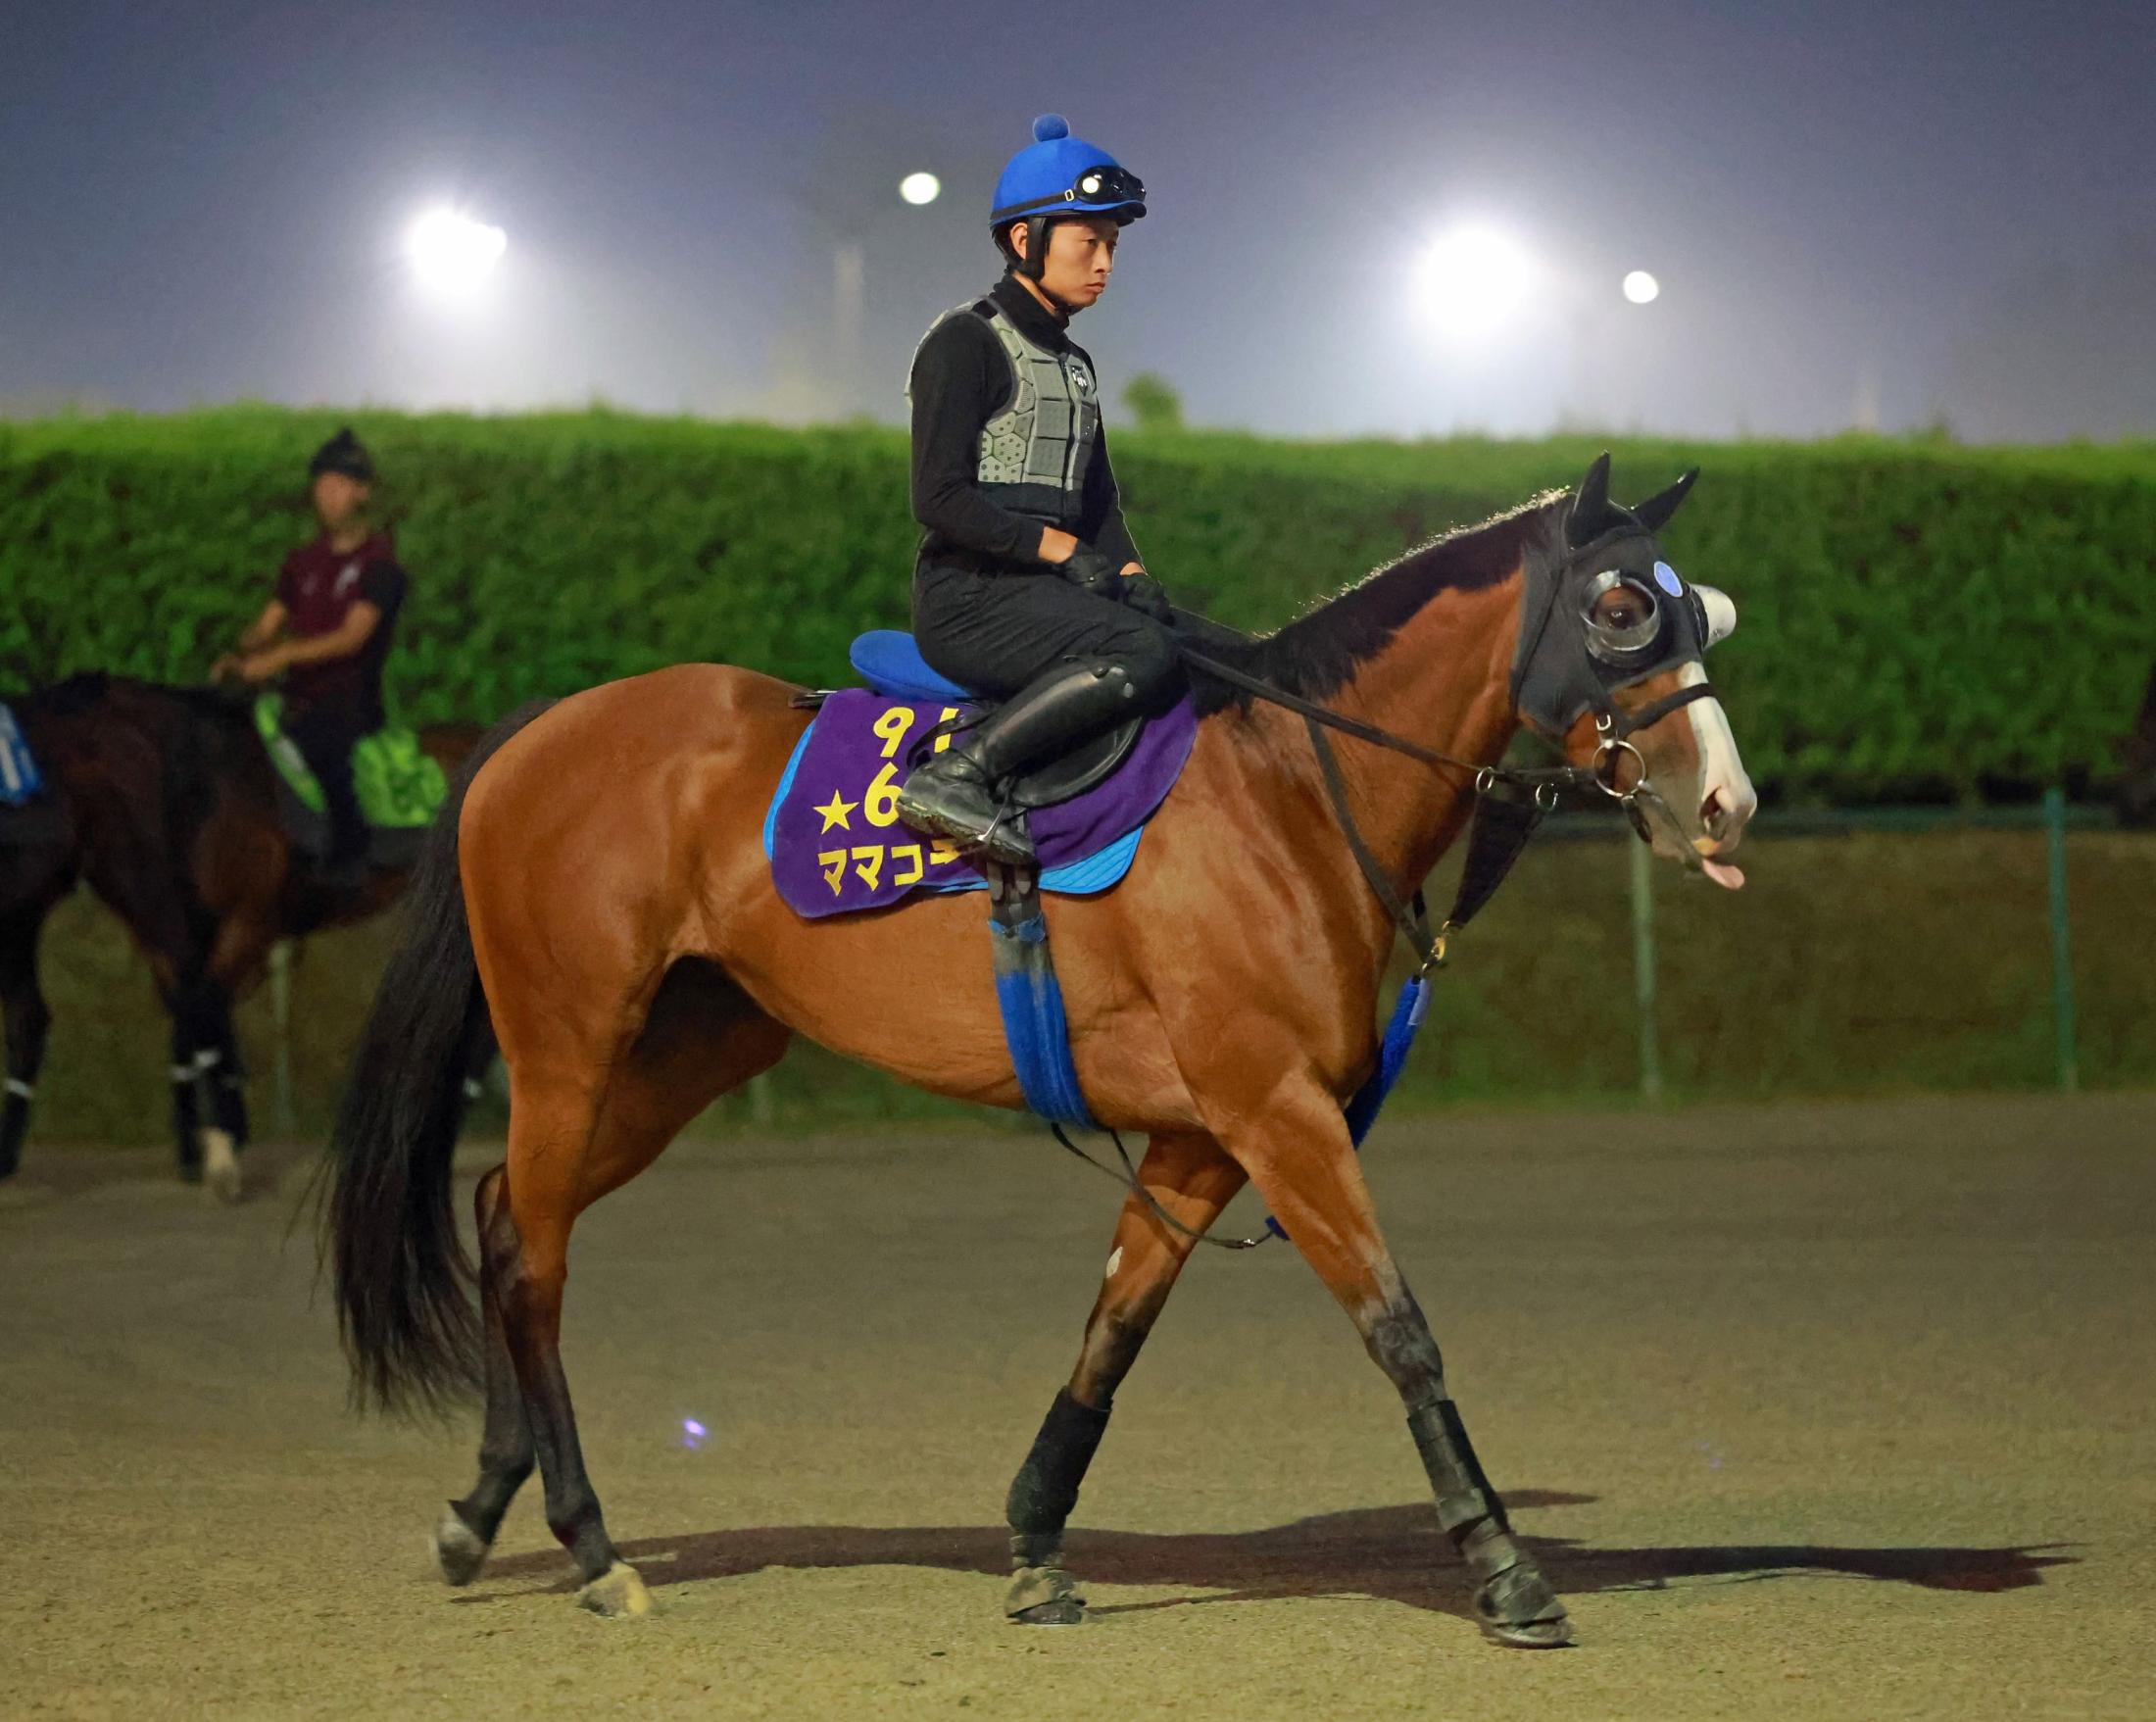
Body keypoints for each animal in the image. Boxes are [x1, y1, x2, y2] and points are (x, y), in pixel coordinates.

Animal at [0, 673, 481, 1195]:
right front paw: (205, 1147)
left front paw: (222, 1148)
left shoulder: (247, 923)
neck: (201, 788)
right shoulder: (173, 933)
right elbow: (193, 1019)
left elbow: (204, 1007)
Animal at [326, 456, 1757, 1648]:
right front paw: (1506, 1570)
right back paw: (589, 1543)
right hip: (571, 1044)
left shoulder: (1199, 1136)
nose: (1723, 805)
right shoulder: (1276, 1110)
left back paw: (481, 1510)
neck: (1288, 787)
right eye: (1619, 609)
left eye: (1705, 614)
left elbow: (1110, 1333)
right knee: (538, 1256)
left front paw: (1032, 1543)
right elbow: (1399, 1328)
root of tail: (539, 730)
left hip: (685, 1054)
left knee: (506, 1216)